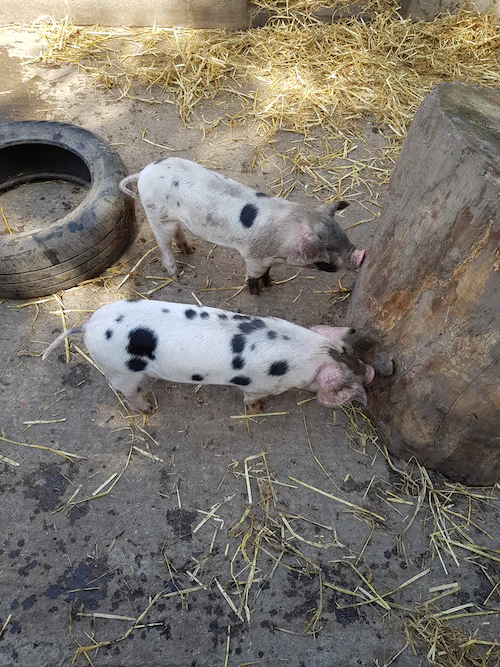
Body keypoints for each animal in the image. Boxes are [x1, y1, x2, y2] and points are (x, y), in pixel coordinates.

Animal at [42, 299, 374, 414]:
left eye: (353, 356)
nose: (370, 372)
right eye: (352, 376)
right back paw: (148, 409)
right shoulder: (258, 385)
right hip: (119, 371)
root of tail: (88, 324)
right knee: (126, 392)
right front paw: (259, 409)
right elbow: (251, 399)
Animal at [119, 158, 366, 295]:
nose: (361, 254)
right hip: (157, 216)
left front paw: (271, 283)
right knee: (164, 246)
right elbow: (254, 275)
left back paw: (191, 251)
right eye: (328, 249)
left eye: (343, 235)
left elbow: (268, 272)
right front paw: (257, 293)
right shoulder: (253, 257)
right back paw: (176, 276)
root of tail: (143, 173)